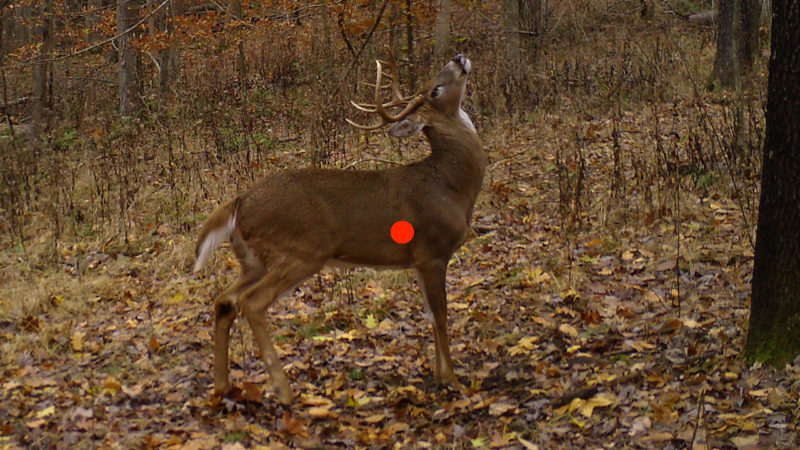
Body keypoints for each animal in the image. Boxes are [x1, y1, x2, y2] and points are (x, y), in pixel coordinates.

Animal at [193, 53, 486, 404]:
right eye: (436, 90)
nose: (458, 58)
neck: (451, 187)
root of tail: (240, 202)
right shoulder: (432, 251)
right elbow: (441, 315)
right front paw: (453, 382)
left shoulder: (417, 261)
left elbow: (429, 314)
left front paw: (440, 376)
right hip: (301, 252)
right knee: (251, 302)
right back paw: (284, 390)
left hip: (253, 260)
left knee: (224, 301)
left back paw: (222, 386)